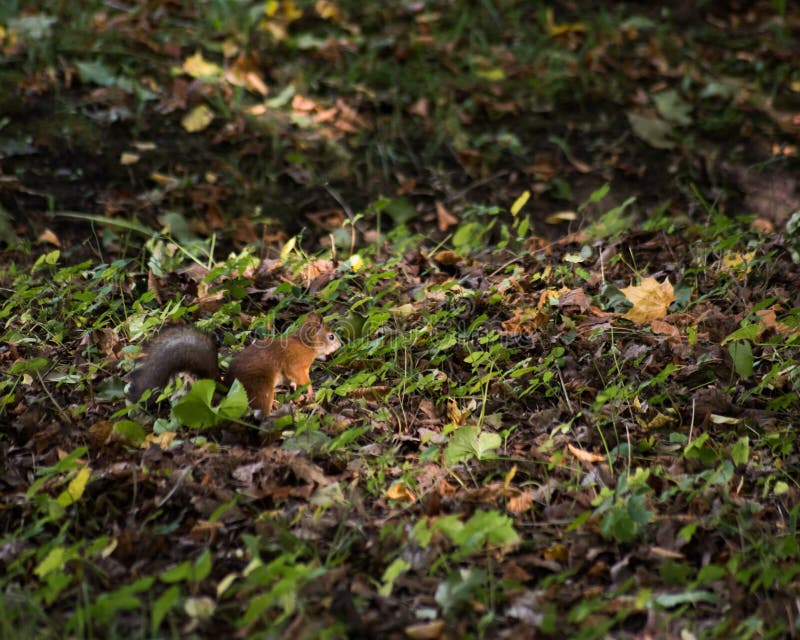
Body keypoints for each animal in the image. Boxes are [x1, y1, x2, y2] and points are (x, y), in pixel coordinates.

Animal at [128, 313, 341, 414]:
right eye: (331, 336)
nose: (340, 344)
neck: (305, 345)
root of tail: (228, 388)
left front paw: (297, 392)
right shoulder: (296, 363)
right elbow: (302, 378)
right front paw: (311, 392)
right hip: (260, 386)